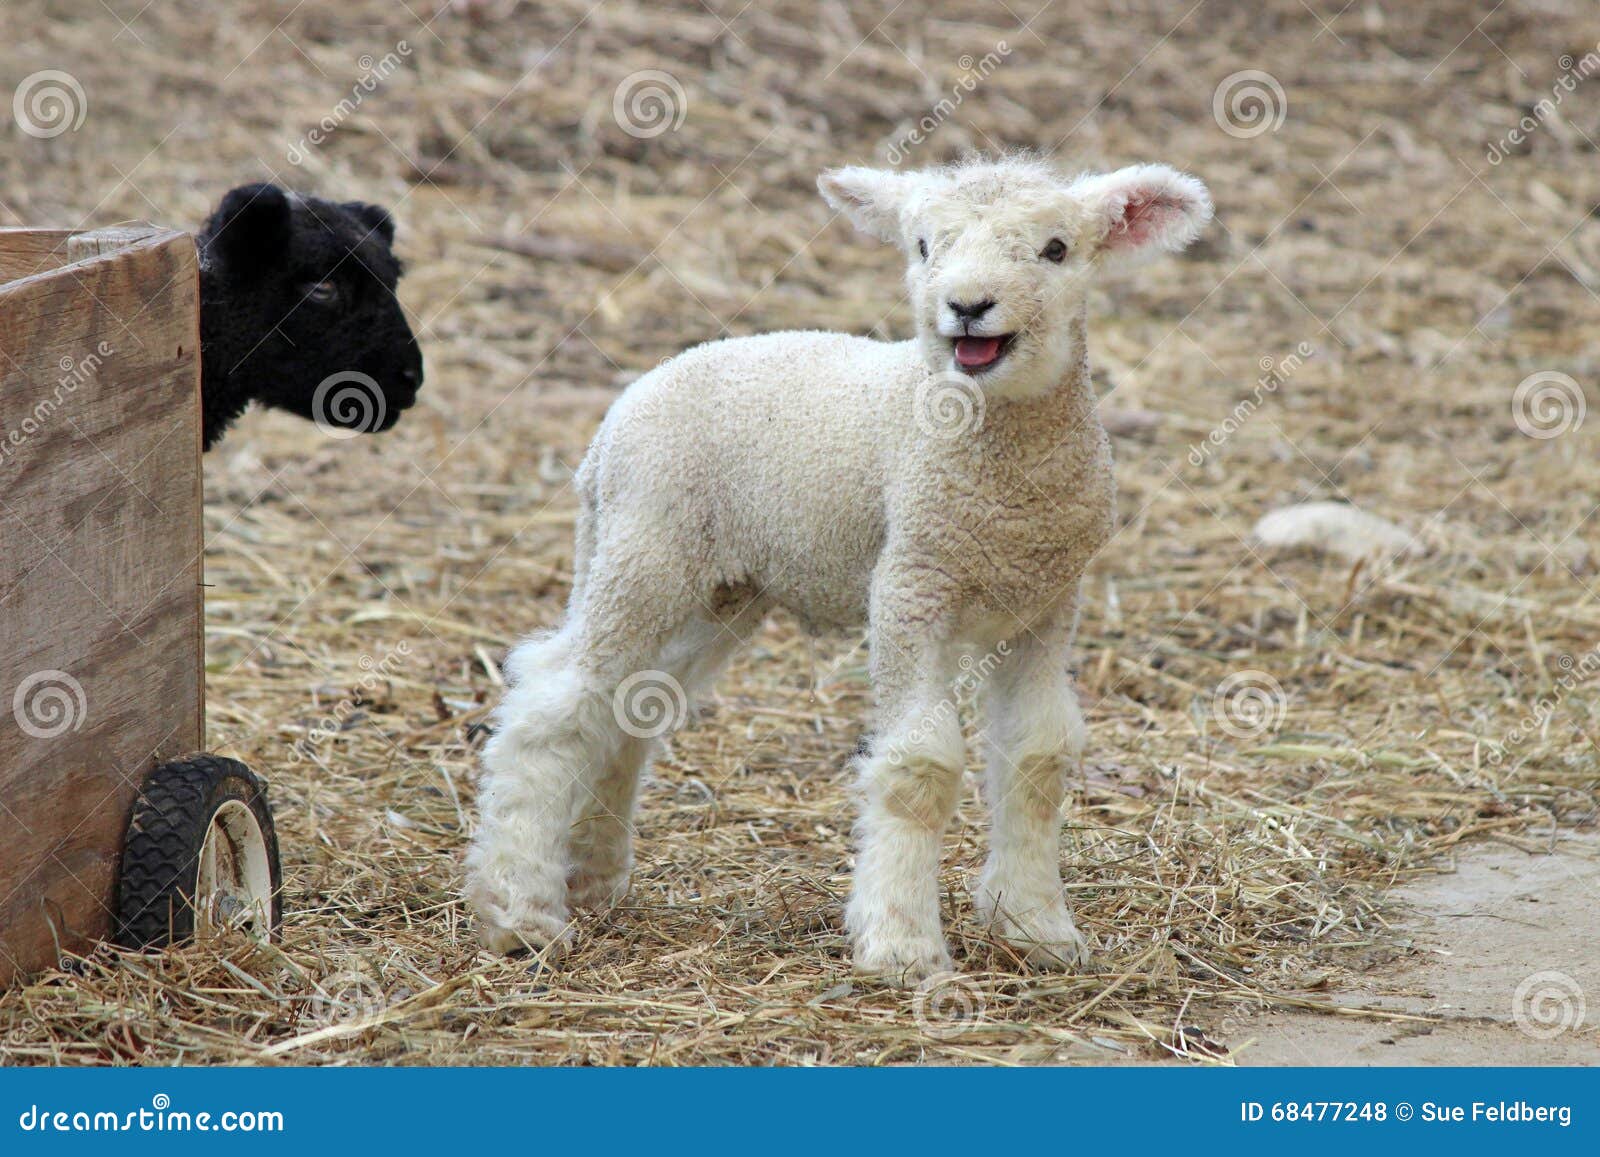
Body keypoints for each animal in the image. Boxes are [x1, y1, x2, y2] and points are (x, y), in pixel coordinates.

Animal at [466, 155, 1212, 980]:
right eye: (922, 244)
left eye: (1056, 249)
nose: (967, 306)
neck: (1002, 474)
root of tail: (612, 423)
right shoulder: (912, 578)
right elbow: (920, 765)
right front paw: (902, 944)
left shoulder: (1047, 599)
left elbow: (1040, 756)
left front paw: (1036, 928)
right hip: (646, 543)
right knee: (556, 697)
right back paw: (520, 911)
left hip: (722, 587)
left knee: (631, 705)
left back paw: (591, 875)